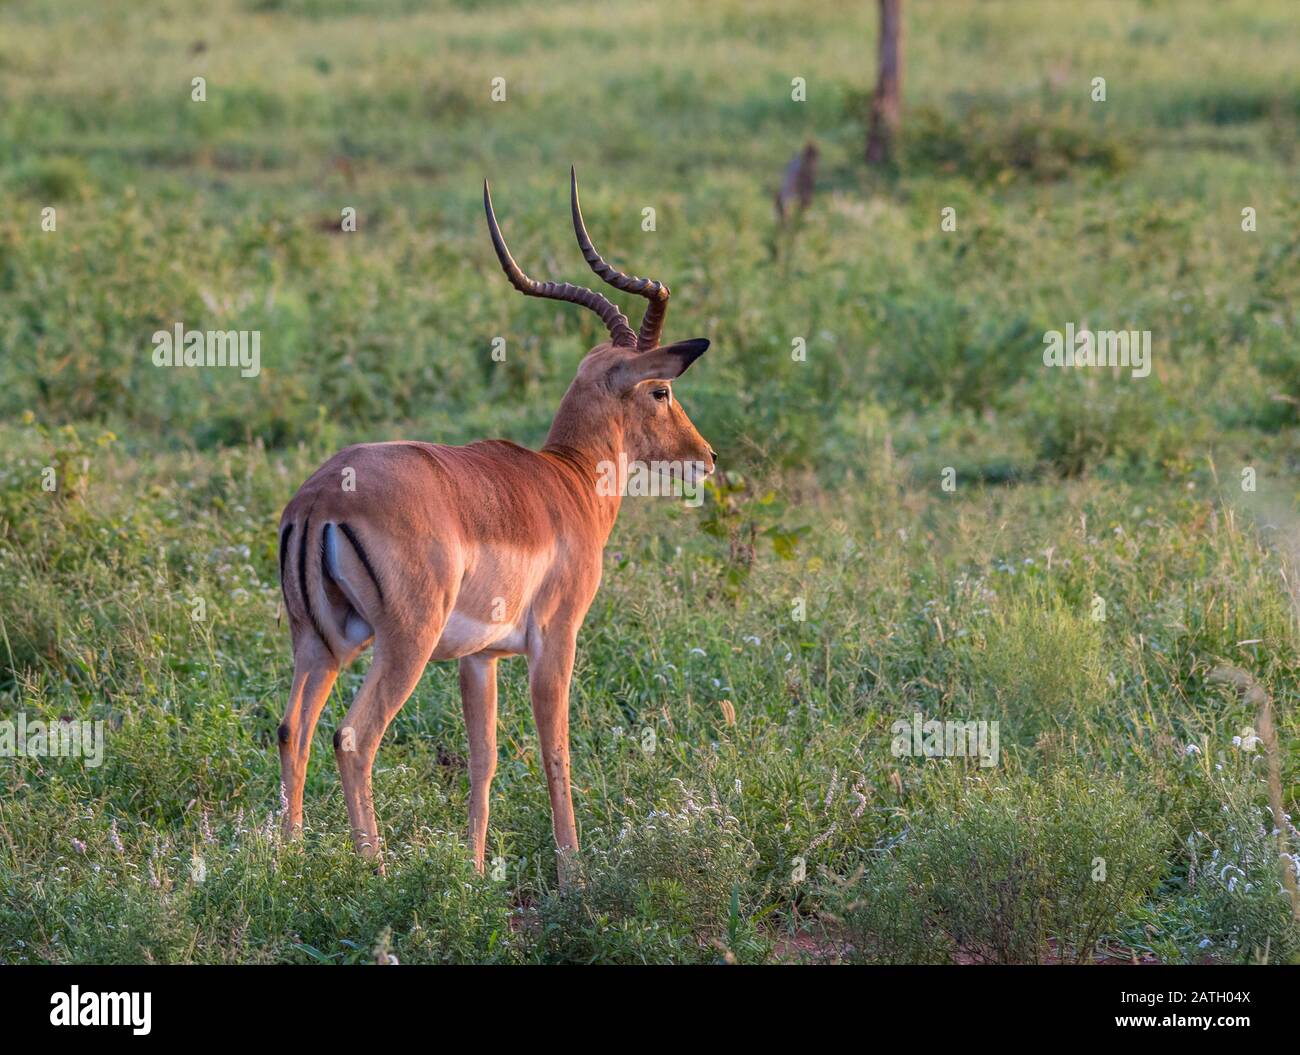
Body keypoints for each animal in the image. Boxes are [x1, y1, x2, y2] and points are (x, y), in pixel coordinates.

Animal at [275, 169, 716, 879]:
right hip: (402, 643)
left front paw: (475, 874)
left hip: (321, 642)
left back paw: (285, 862)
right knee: (354, 737)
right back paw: (375, 871)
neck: (567, 482)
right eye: (661, 391)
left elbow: (483, 760)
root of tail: (318, 500)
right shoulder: (556, 639)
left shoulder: (479, 659)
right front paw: (573, 873)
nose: (706, 457)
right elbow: (556, 750)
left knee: (295, 729)